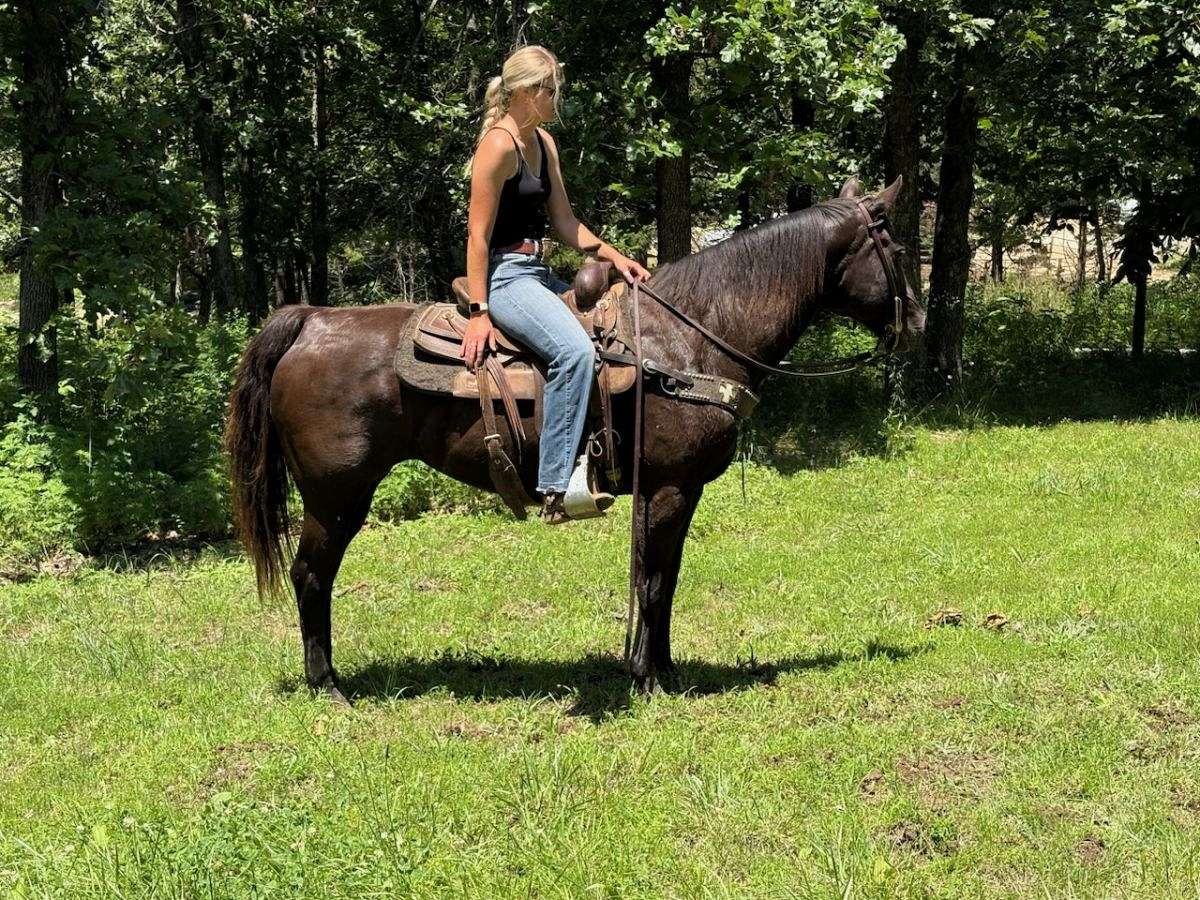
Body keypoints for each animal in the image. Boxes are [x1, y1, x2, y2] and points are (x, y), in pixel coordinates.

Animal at [225, 177, 925, 702]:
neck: (689, 341)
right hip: (336, 496)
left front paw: (664, 669)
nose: (916, 322)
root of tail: (310, 321)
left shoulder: (680, 490)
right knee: (311, 575)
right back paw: (328, 684)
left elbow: (666, 578)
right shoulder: (665, 488)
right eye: (891, 241)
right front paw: (645, 677)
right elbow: (650, 579)